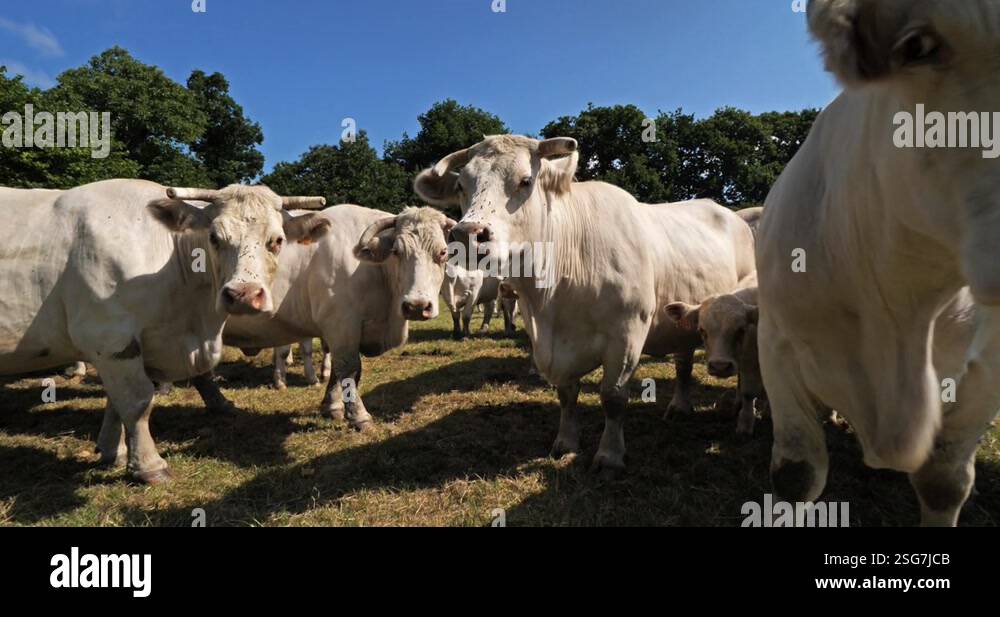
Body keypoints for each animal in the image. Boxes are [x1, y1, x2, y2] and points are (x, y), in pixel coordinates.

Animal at [0, 180, 331, 483]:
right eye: (214, 237)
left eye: (277, 240)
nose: (243, 295)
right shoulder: (109, 335)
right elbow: (136, 402)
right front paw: (148, 466)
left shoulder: (124, 347)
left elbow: (116, 402)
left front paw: (113, 451)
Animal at [194, 206, 456, 430]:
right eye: (397, 252)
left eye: (443, 252)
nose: (416, 306)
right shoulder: (340, 323)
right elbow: (348, 367)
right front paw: (359, 417)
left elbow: (344, 371)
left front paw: (332, 406)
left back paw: (220, 405)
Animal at [665, 276, 766, 435]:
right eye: (702, 330)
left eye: (741, 330)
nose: (720, 366)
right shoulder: (746, 362)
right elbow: (746, 390)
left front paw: (747, 422)